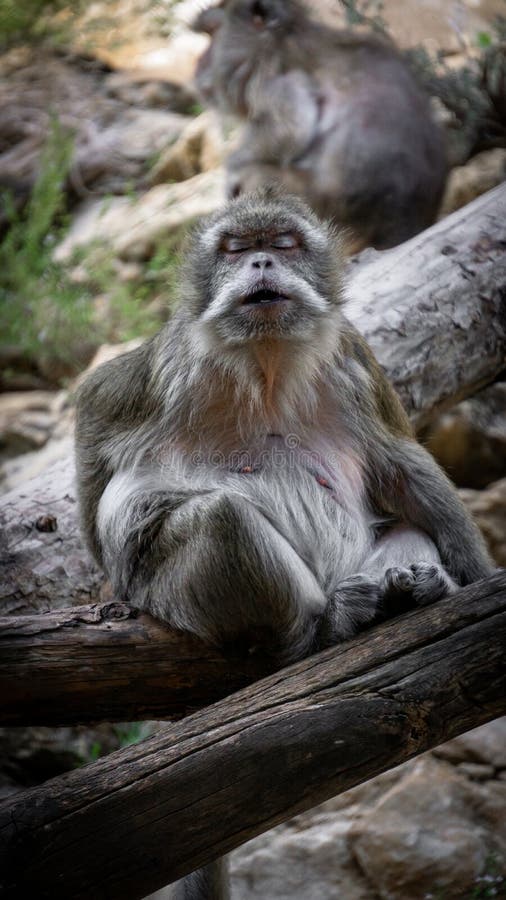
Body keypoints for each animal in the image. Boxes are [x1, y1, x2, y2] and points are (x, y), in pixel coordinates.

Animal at [75, 190, 493, 899]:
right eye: (237, 249)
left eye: (284, 244)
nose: (263, 262)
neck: (265, 359)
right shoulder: (163, 367)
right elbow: (93, 425)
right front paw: (111, 582)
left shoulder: (352, 357)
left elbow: (402, 466)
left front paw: (474, 578)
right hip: (183, 598)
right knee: (223, 521)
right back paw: (322, 629)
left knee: (405, 531)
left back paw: (407, 591)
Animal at [192, 0, 448, 253]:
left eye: (213, 33)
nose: (199, 63)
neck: (281, 43)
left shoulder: (279, 85)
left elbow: (292, 129)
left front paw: (234, 163)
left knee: (255, 180)